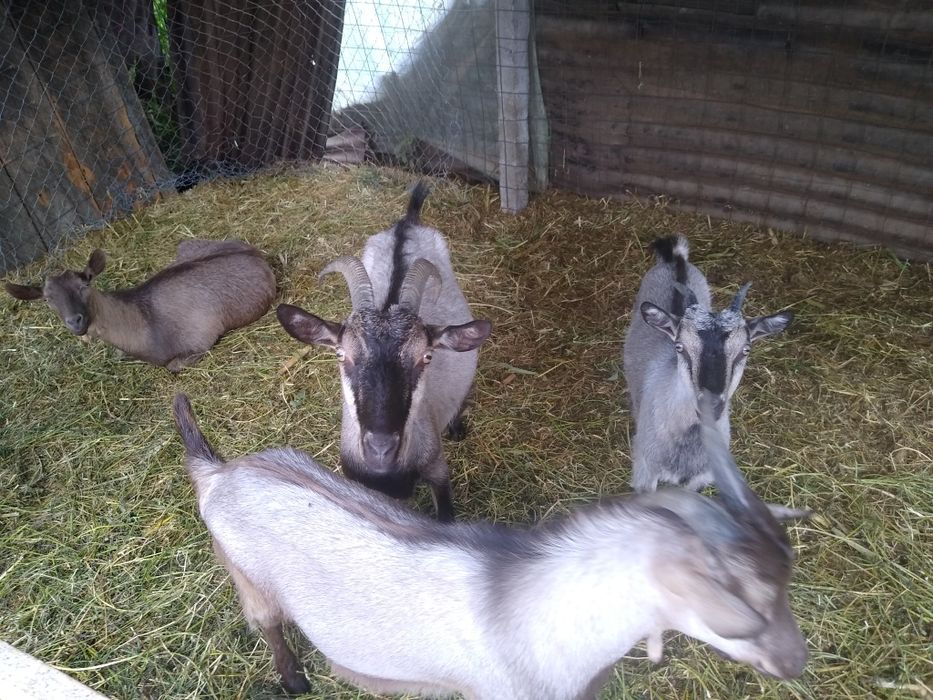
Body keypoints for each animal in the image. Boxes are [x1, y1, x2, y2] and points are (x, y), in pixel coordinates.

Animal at [5, 240, 275, 372]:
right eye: (48, 299)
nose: (75, 321)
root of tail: (254, 252)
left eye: (84, 285)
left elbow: (174, 366)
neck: (145, 320)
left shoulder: (201, 340)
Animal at [174, 391, 810, 698]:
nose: (795, 663)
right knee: (269, 628)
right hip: (250, 582)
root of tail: (218, 474)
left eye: (785, 582)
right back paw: (295, 682)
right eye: (744, 597)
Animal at [623, 235, 793, 492]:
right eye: (680, 347)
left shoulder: (698, 481)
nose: (711, 406)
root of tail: (677, 260)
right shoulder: (645, 473)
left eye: (745, 350)